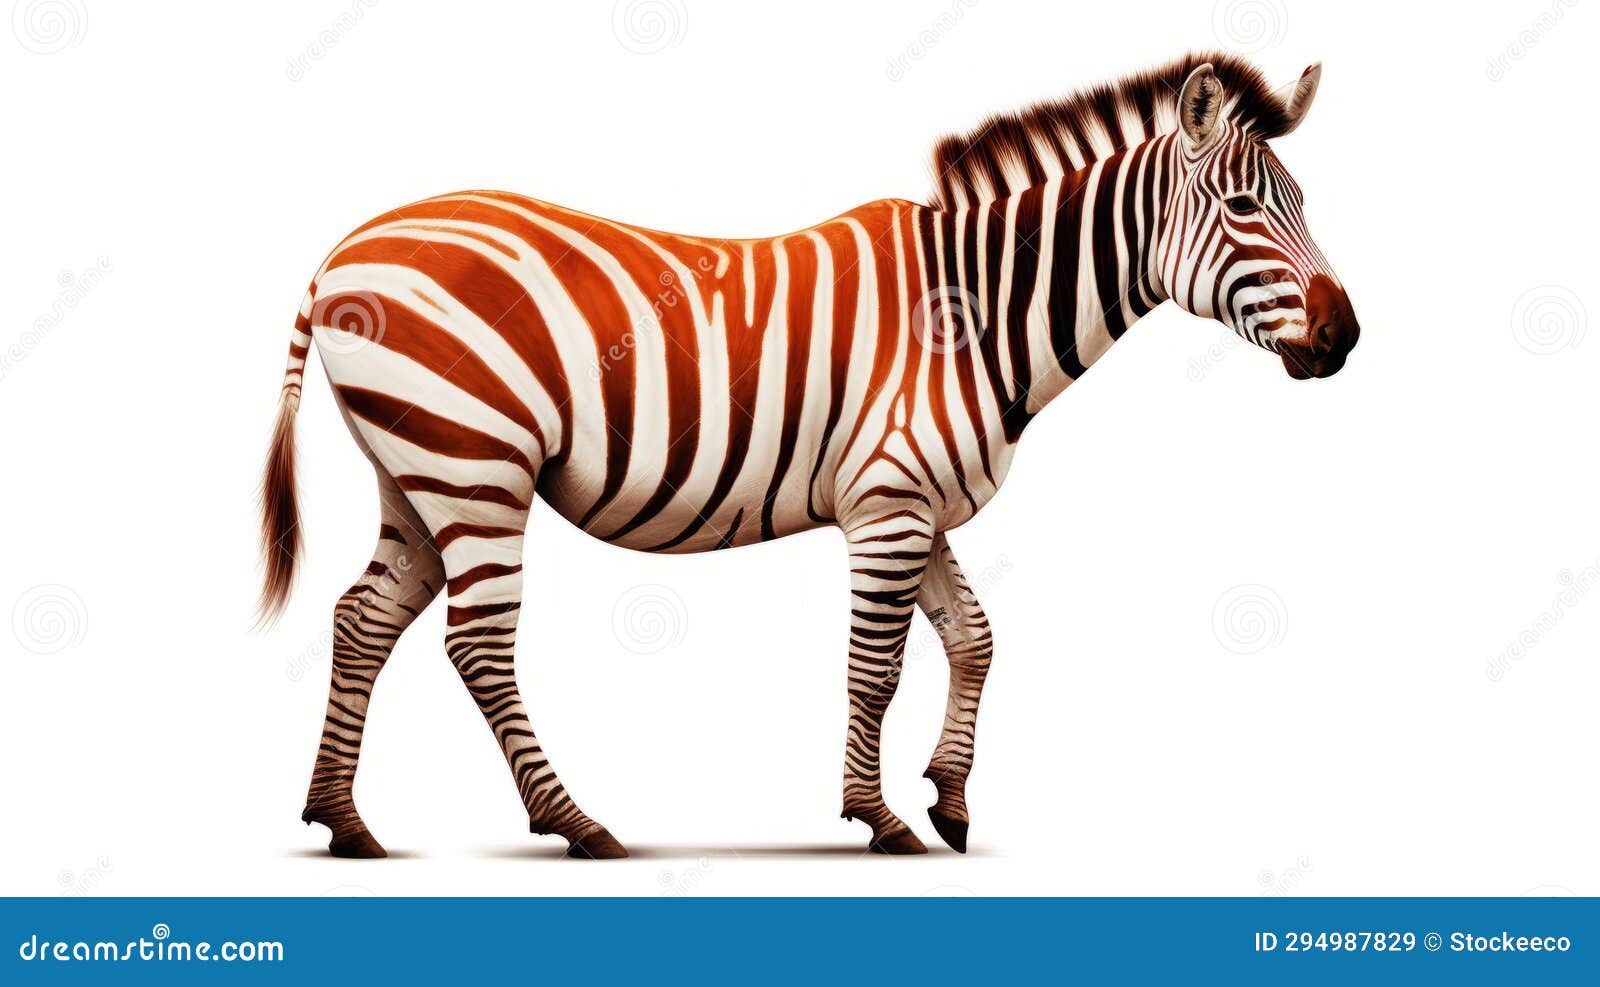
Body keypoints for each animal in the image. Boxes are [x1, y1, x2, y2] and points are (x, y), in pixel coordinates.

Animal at [261, 53, 1360, 860]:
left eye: (1304, 203)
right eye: (1246, 210)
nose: (1344, 336)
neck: (975, 314)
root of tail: (339, 255)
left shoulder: (915, 501)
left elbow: (975, 638)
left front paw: (951, 801)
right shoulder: (890, 505)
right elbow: (875, 667)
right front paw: (879, 818)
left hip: (418, 471)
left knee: (361, 621)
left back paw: (345, 823)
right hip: (475, 466)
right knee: (479, 645)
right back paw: (578, 824)